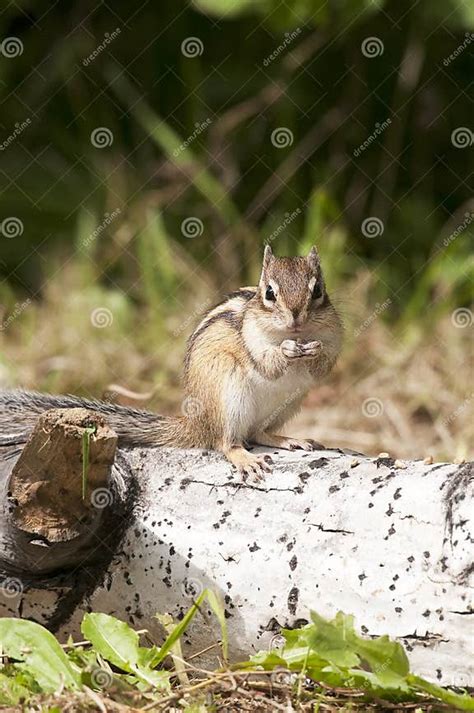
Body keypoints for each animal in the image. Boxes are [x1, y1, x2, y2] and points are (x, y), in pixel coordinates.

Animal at [0, 245, 343, 480]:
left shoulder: (333, 336)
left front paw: (314, 351)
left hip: (289, 402)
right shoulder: (252, 339)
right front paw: (286, 350)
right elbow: (267, 363)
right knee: (226, 442)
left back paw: (288, 439)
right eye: (269, 293)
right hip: (228, 393)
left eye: (317, 290)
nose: (296, 320)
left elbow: (325, 364)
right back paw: (244, 457)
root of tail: (196, 424)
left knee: (258, 433)